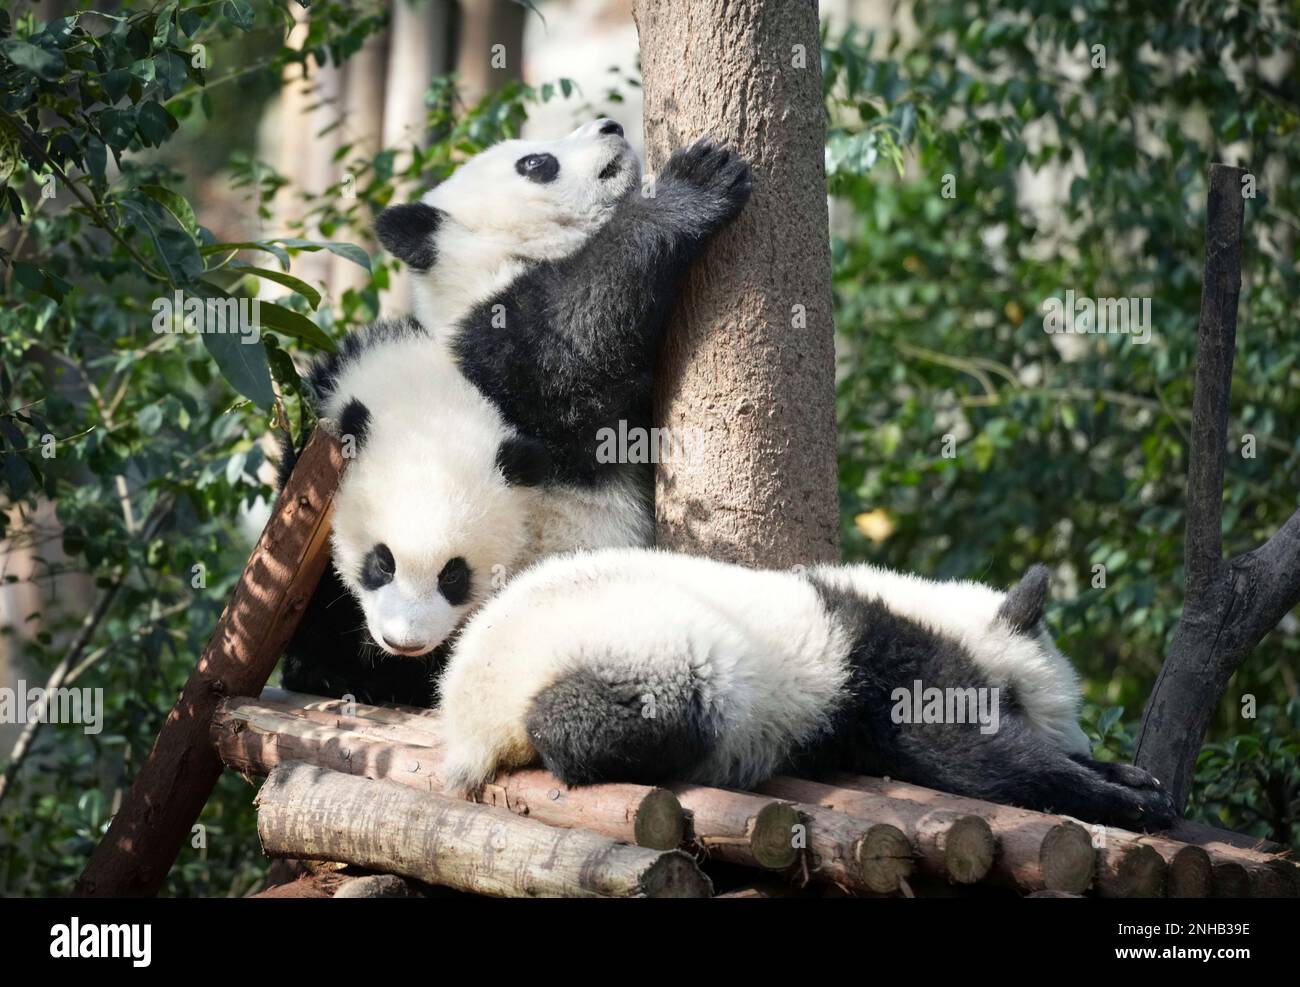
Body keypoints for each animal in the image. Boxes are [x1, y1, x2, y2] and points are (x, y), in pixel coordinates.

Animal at [435, 548, 1177, 831]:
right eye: (1058, 710)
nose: (1087, 743)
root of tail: (466, 707)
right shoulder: (889, 663)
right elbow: (963, 750)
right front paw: (1128, 799)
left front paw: (1130, 776)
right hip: (633, 642)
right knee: (652, 704)